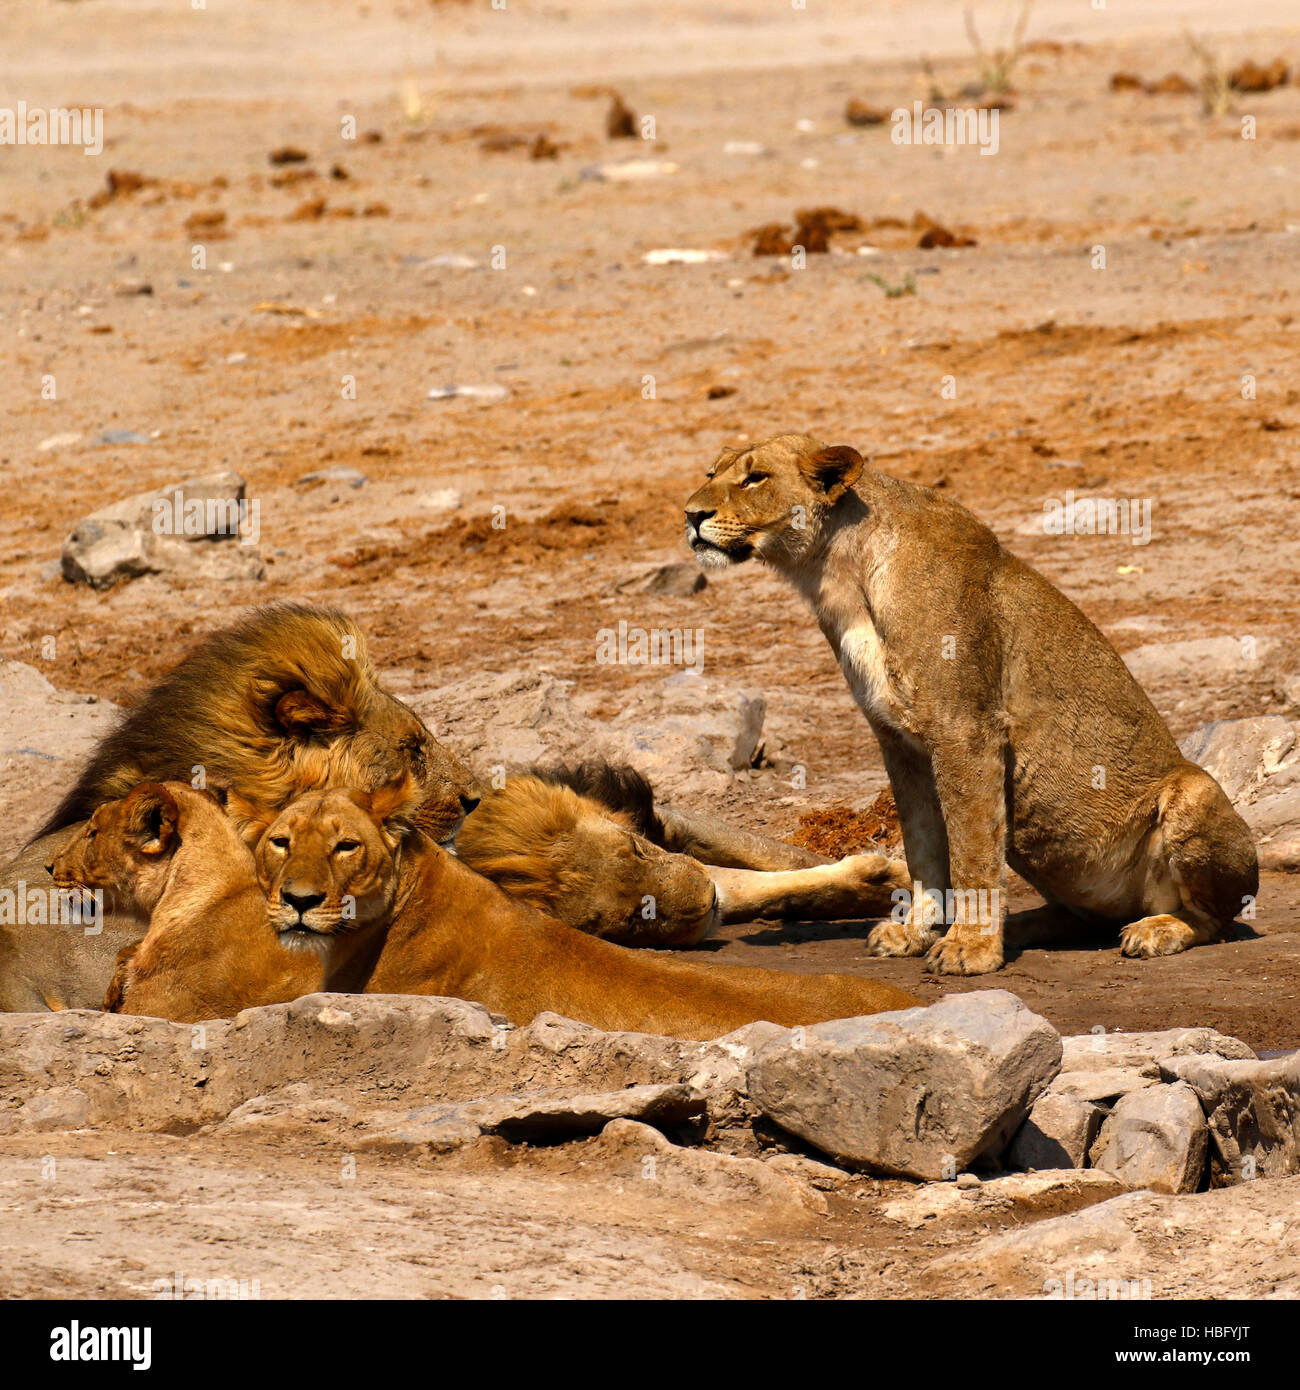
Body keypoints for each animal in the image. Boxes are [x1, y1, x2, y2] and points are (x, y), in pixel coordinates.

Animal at [455, 761, 912, 946]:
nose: (708, 899)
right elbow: (759, 886)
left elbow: (782, 856)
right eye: (636, 918)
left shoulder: (669, 821)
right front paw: (880, 878)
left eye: (636, 850)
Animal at [684, 433, 1258, 976]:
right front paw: (916, 932)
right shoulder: (899, 742)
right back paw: (1022, 924)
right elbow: (923, 849)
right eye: (711, 474)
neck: (837, 571)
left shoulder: (965, 730)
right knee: (1080, 916)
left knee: (1215, 920)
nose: (691, 515)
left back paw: (1156, 929)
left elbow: (971, 851)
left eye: (755, 477)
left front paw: (970, 949)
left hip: (1195, 791)